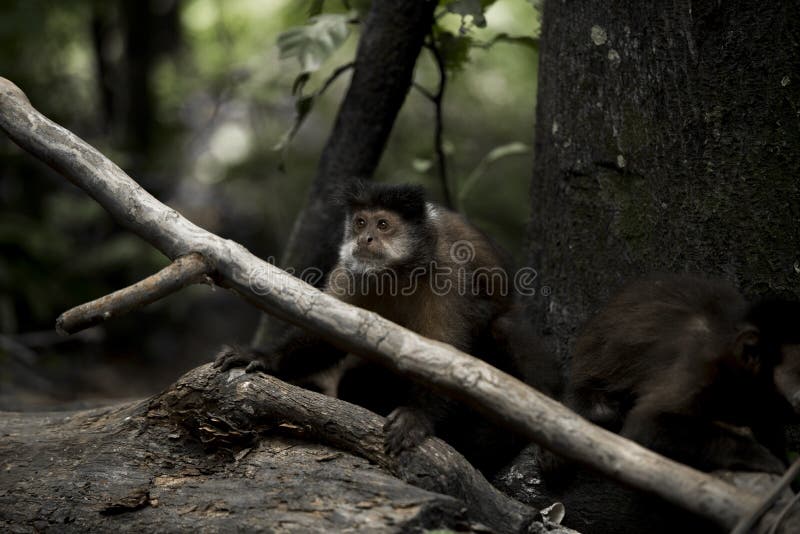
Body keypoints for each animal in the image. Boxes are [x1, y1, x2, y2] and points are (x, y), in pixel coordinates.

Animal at [214, 181, 529, 475]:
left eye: (383, 225)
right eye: (361, 222)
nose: (365, 239)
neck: (398, 273)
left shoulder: (448, 269)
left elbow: (450, 355)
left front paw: (416, 417)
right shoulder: (351, 271)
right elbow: (327, 336)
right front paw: (263, 358)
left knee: (504, 327)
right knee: (355, 377)